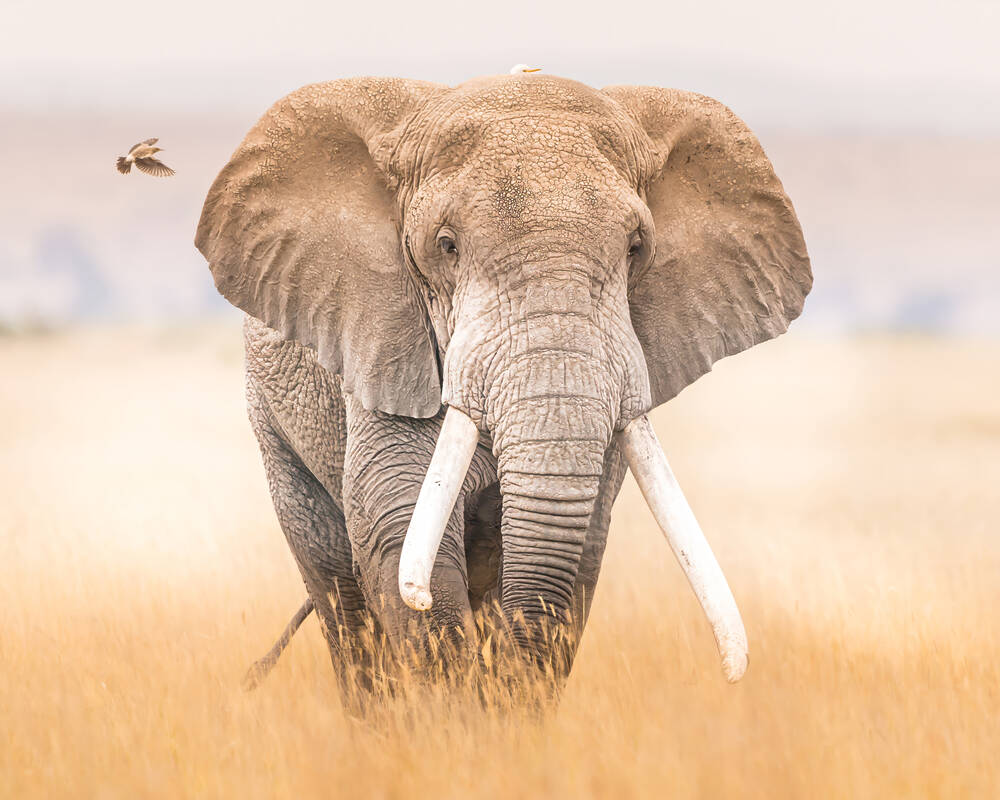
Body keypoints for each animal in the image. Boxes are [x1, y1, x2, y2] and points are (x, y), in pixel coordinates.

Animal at [195, 72, 811, 702]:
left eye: (636, 249)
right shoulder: (388, 344)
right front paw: (453, 715)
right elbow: (396, 523)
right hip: (272, 418)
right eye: (446, 246)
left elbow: (578, 550)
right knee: (338, 590)